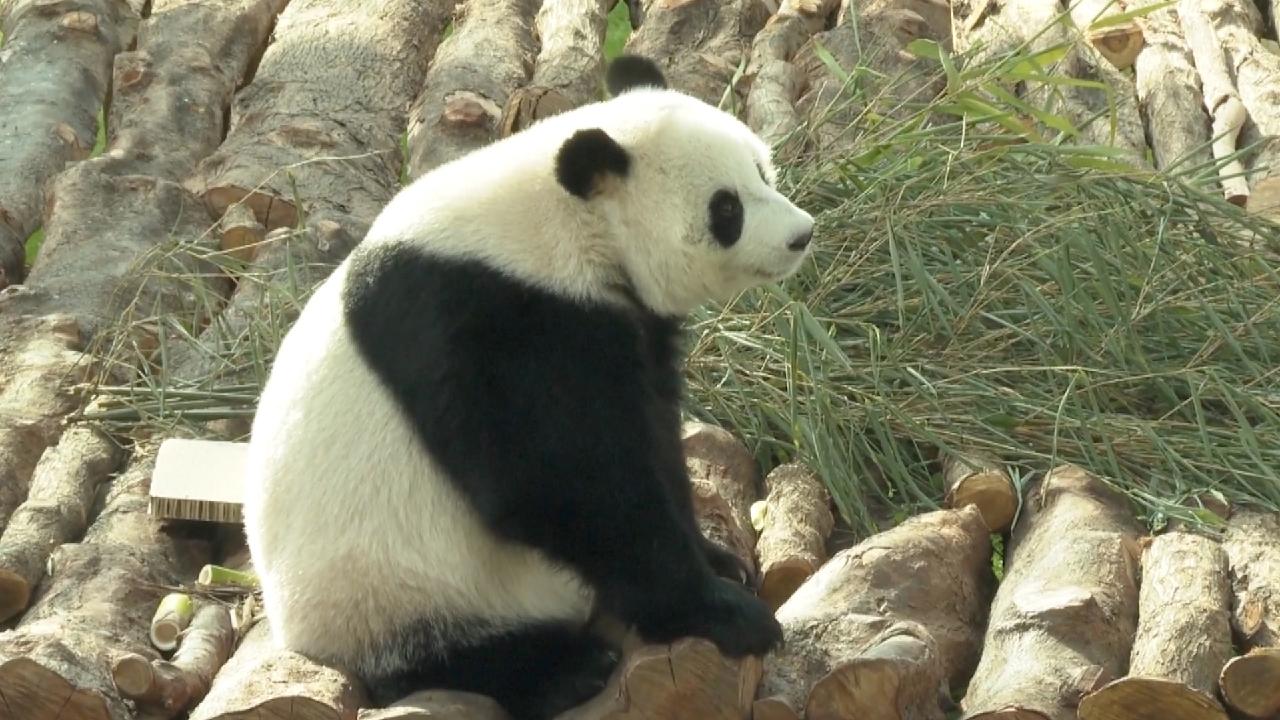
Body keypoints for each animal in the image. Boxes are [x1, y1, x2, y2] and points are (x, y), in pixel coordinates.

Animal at [241, 54, 815, 720]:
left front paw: (721, 562)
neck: (567, 220)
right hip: (389, 587)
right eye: (726, 209)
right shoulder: (491, 319)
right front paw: (720, 612)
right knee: (431, 651)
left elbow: (649, 433)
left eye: (761, 168)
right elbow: (557, 480)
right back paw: (561, 669)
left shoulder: (620, 319)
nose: (801, 234)